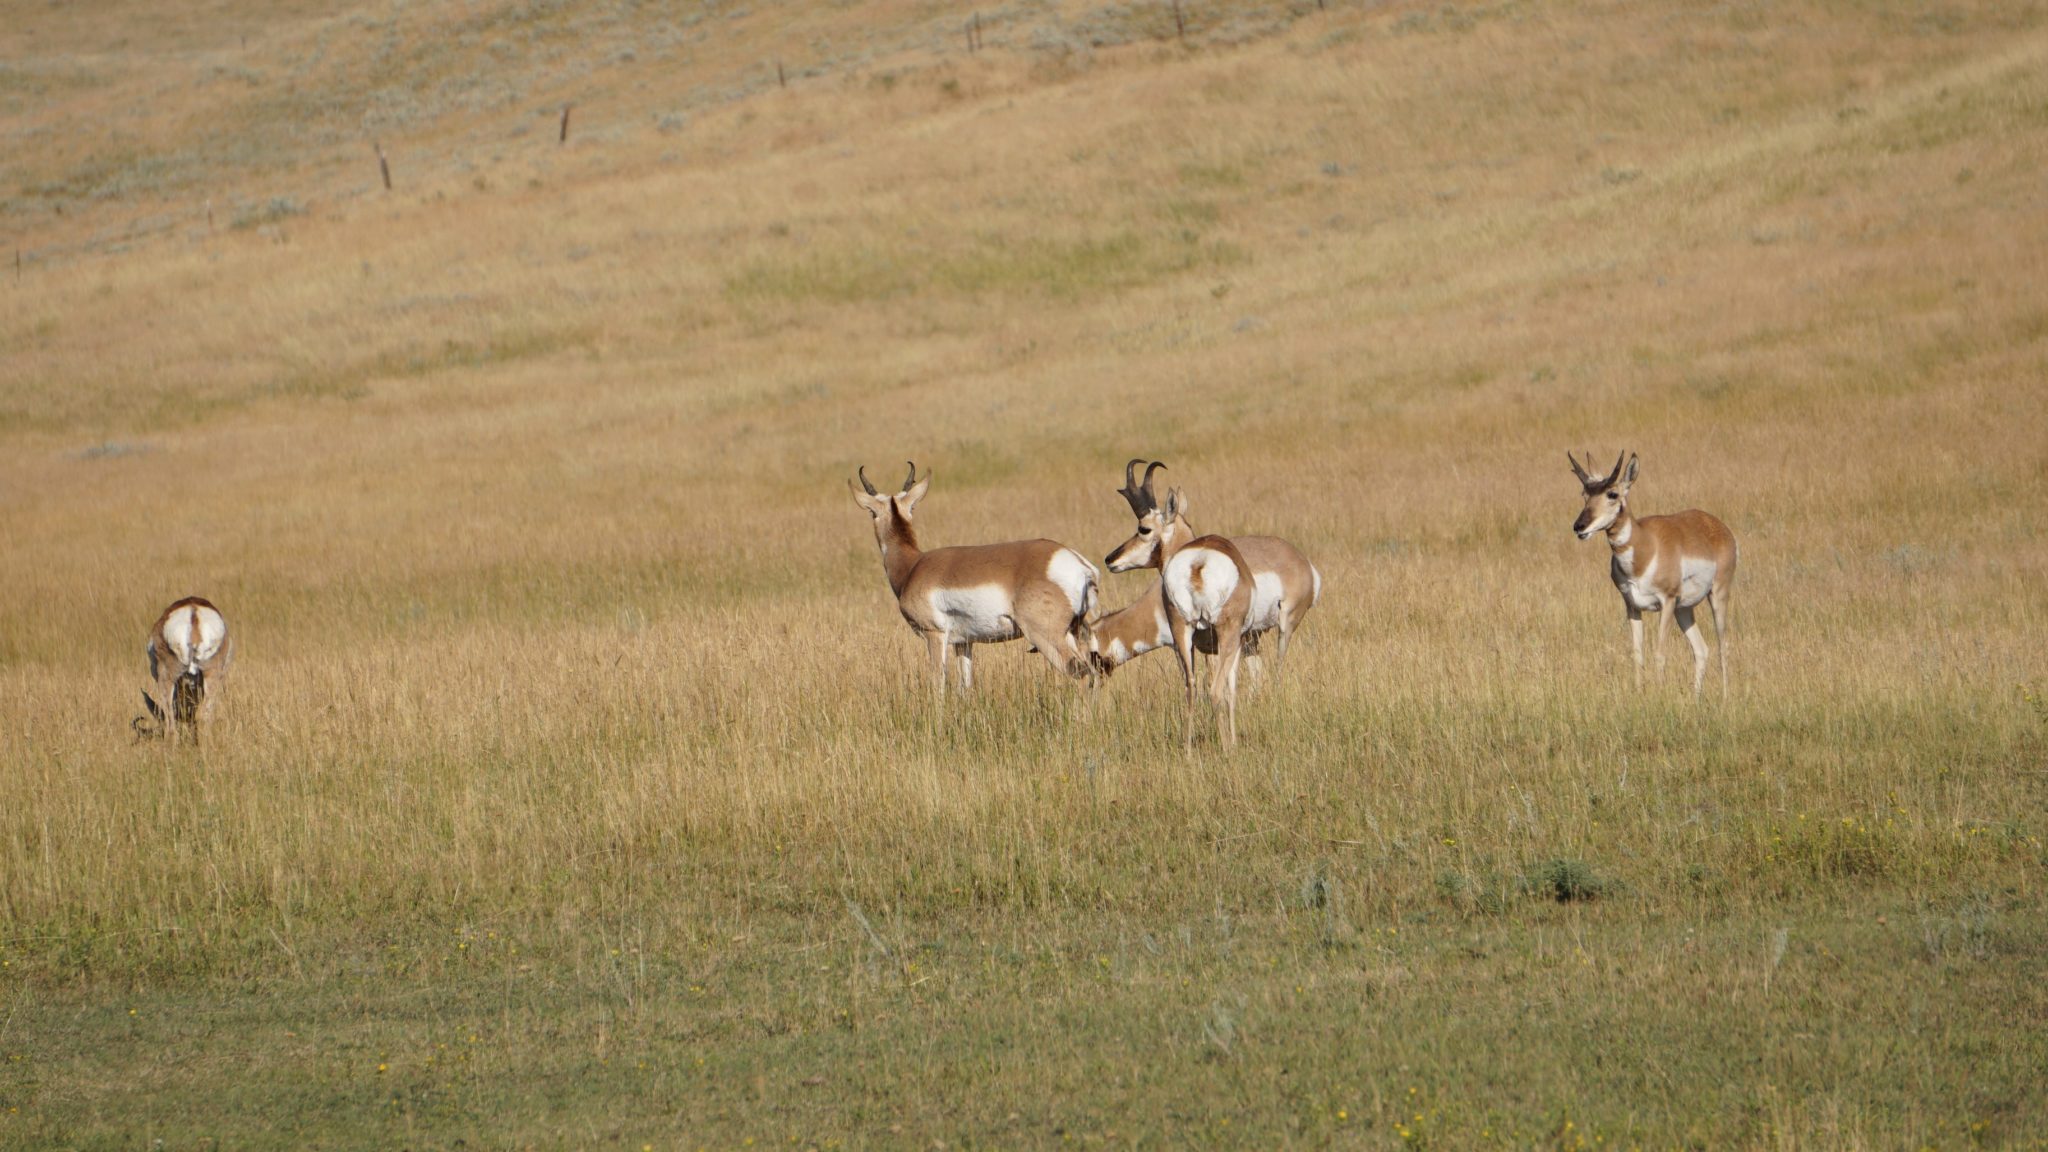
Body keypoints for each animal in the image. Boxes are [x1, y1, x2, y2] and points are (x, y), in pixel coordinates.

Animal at [850, 461, 1100, 698]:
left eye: (872, 512)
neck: (913, 566)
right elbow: (965, 686)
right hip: (1077, 632)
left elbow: (938, 684)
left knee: (1083, 672)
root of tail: (1078, 563)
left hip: (1046, 637)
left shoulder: (935, 635)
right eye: (910, 507)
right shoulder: (964, 643)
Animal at [1102, 460, 1259, 746]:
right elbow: (1232, 690)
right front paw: (1233, 741)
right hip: (1226, 634)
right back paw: (1226, 748)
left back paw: (1187, 750)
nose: (1110, 559)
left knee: (1191, 688)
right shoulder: (1237, 641)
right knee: (1215, 690)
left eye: (1143, 528)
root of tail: (1198, 561)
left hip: (1182, 633)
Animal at [1569, 451, 1738, 697]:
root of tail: (1719, 527)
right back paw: (1696, 698)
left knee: (1722, 646)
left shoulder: (1666, 601)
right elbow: (1637, 654)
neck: (1645, 546)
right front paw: (1639, 694)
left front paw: (1659, 695)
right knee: (1701, 649)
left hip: (1716, 595)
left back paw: (1725, 697)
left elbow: (1659, 653)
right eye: (1585, 494)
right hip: (1683, 609)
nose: (1579, 526)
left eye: (1612, 494)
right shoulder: (1632, 606)